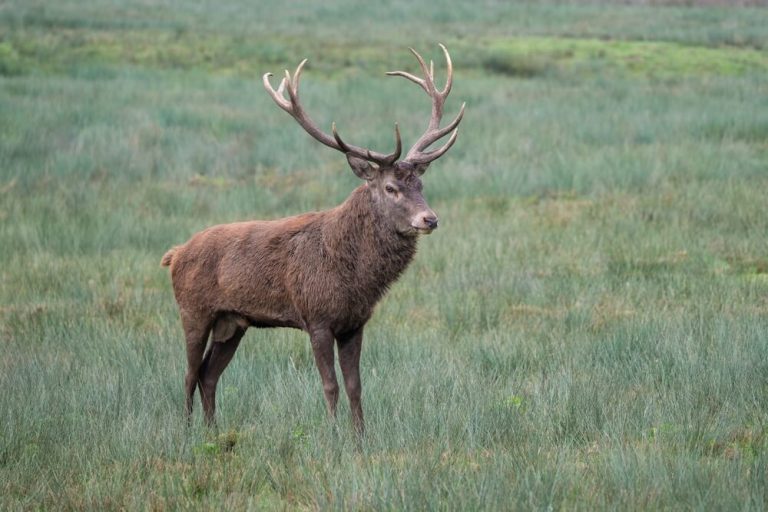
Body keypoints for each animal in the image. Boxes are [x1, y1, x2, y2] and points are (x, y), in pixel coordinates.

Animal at [161, 45, 464, 434]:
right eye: (390, 188)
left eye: (421, 184)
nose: (430, 219)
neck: (354, 277)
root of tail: (175, 254)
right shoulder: (316, 317)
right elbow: (330, 385)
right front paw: (334, 435)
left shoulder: (354, 323)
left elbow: (355, 385)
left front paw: (360, 437)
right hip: (193, 310)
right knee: (188, 374)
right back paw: (186, 433)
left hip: (232, 322)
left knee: (208, 376)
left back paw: (212, 431)